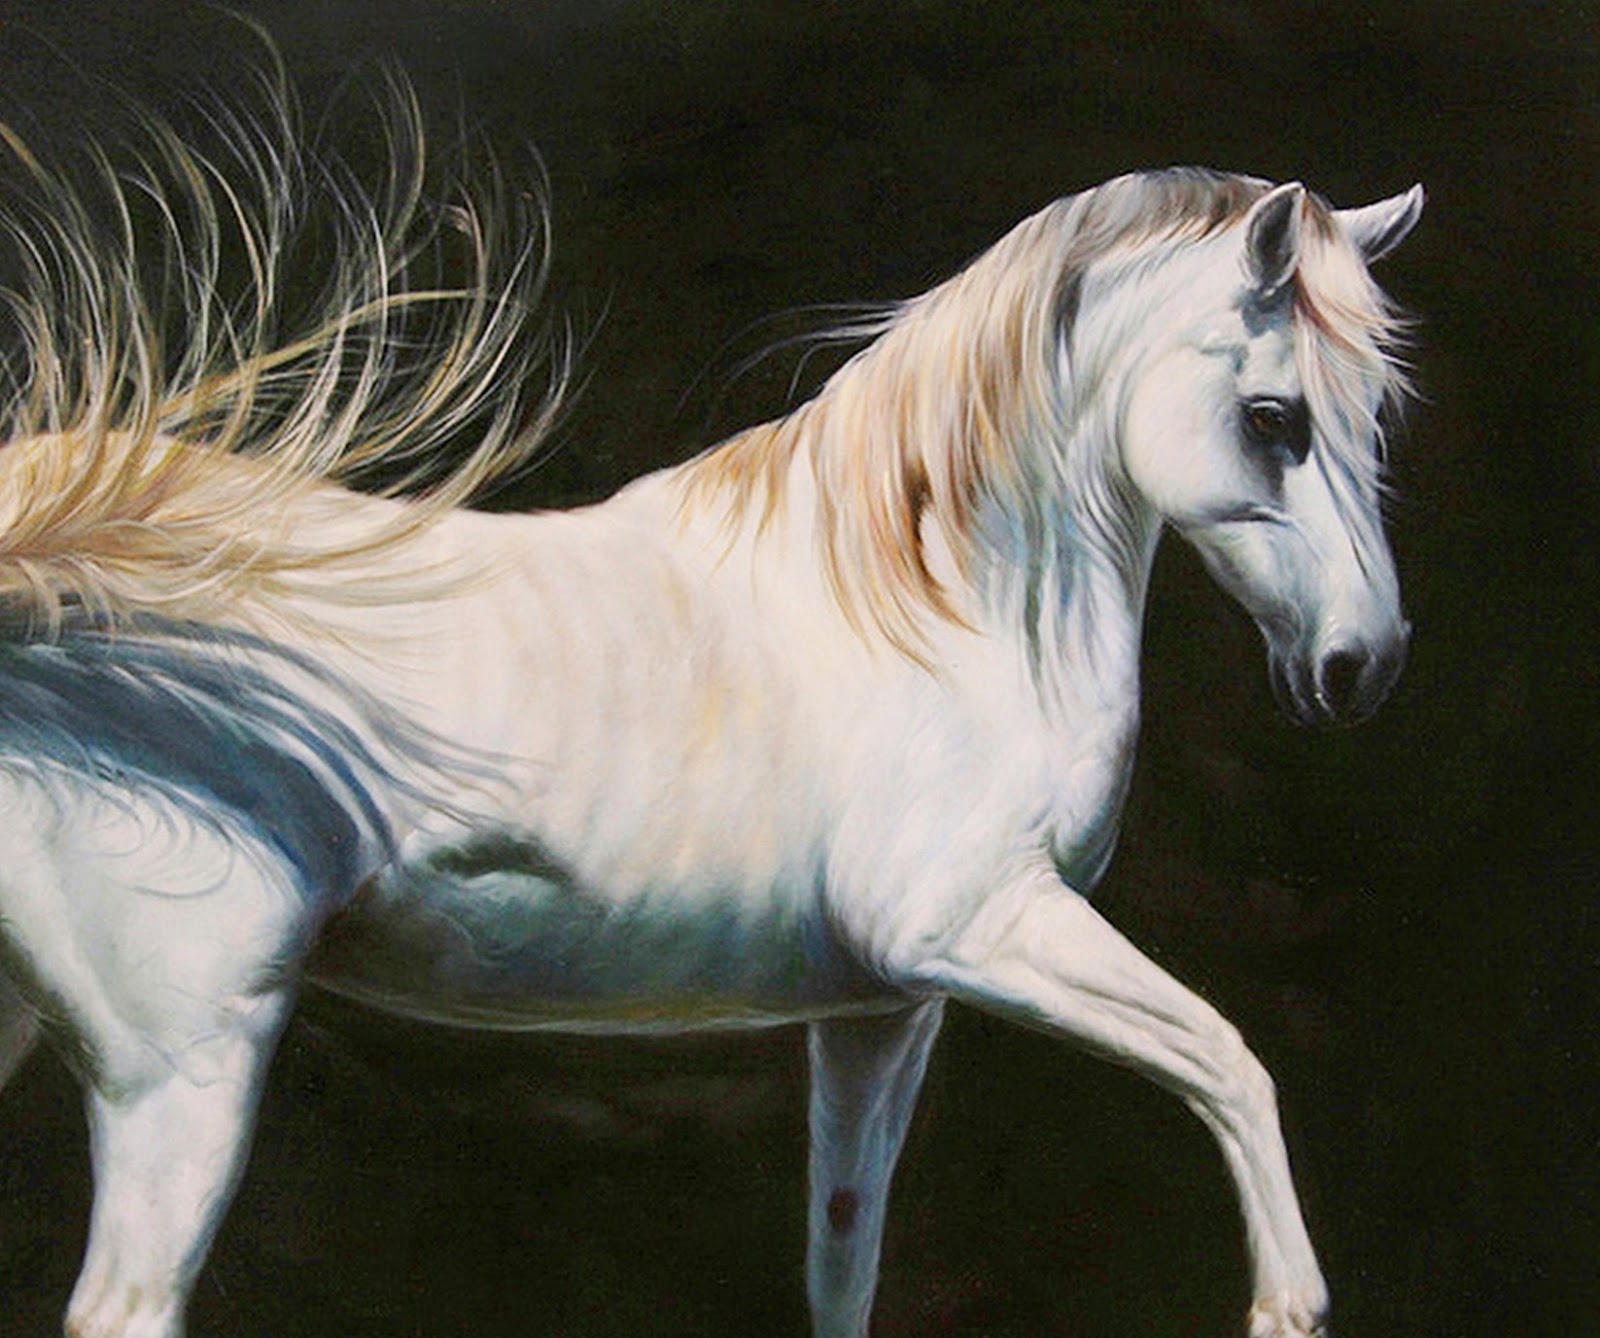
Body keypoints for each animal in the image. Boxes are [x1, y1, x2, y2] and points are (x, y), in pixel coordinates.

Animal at [0, 58, 1423, 1338]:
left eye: (1371, 420)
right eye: (1273, 417)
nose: (1362, 666)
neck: (930, 612)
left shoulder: (881, 1011)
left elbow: (842, 1261)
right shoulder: (982, 928)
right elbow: (1231, 1061)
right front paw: (1288, 1306)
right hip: (182, 1067)